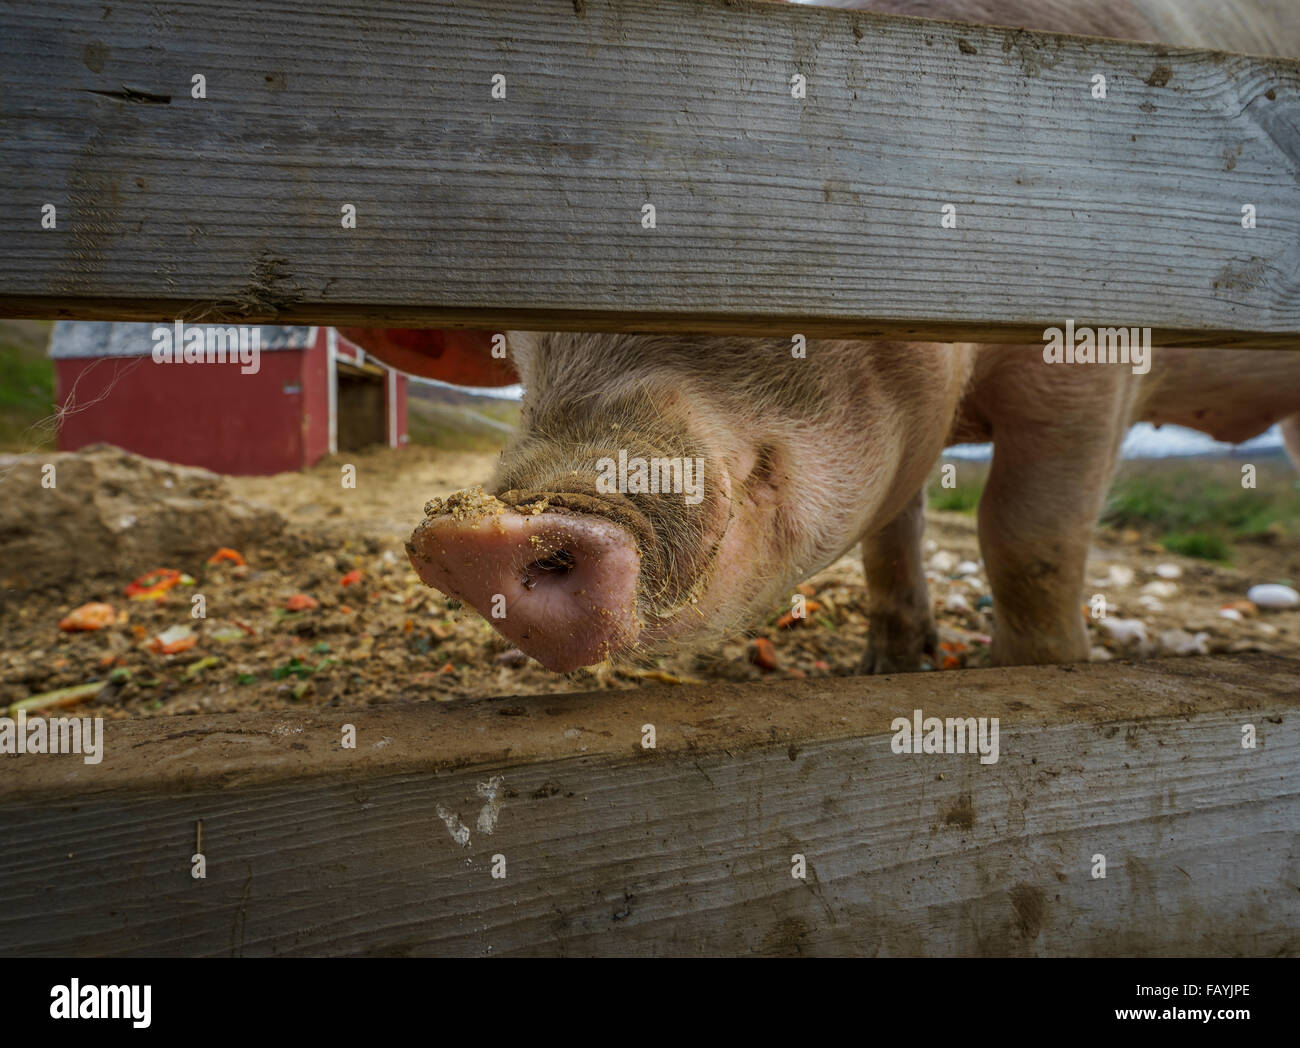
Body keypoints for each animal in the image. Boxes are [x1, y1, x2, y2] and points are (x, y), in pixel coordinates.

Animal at [404, 0, 1300, 674]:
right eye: (522, 354)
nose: (481, 538)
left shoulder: (1095, 361)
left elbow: (1026, 536)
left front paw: (1035, 674)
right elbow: (890, 542)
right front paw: (886, 670)